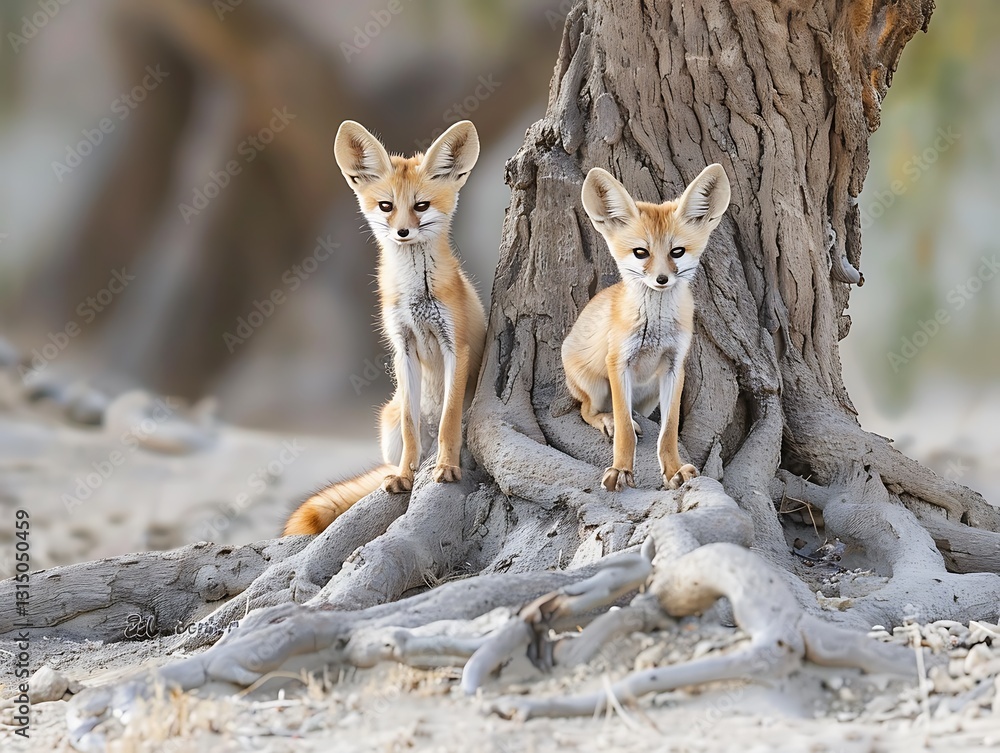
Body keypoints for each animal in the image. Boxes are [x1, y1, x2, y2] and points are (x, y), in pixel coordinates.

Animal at [283, 120, 486, 536]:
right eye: (386, 206)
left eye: (421, 206)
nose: (403, 233)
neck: (416, 296)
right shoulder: (402, 347)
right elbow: (411, 427)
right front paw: (406, 477)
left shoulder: (455, 346)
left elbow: (450, 421)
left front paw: (447, 466)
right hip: (387, 422)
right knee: (402, 445)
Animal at [561, 164, 730, 494]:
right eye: (641, 253)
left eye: (677, 252)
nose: (662, 279)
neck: (655, 330)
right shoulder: (619, 362)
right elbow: (625, 429)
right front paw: (620, 470)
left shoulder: (675, 366)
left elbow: (669, 430)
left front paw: (673, 470)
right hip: (596, 387)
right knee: (588, 411)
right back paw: (606, 420)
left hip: (650, 394)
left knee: (635, 413)